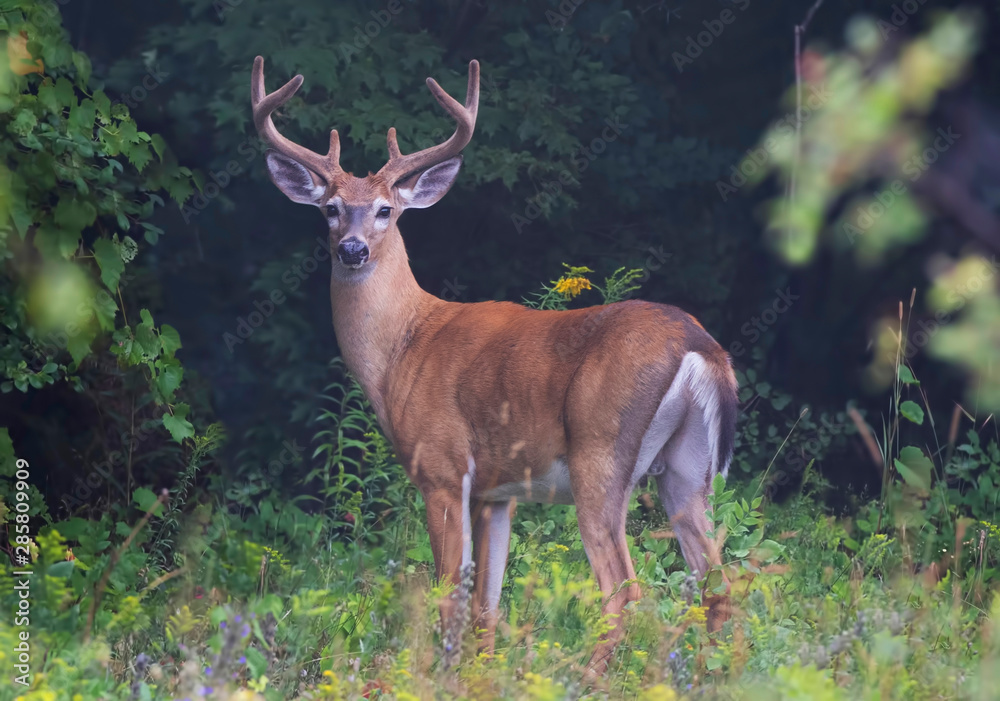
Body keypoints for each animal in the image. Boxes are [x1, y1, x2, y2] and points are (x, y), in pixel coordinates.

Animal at [251, 55, 738, 674]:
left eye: (387, 210)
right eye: (330, 209)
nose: (352, 249)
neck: (403, 349)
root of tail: (700, 346)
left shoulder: (441, 467)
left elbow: (449, 595)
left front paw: (441, 675)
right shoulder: (496, 492)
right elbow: (487, 604)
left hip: (601, 455)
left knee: (625, 593)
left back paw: (585, 677)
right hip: (689, 471)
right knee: (718, 585)